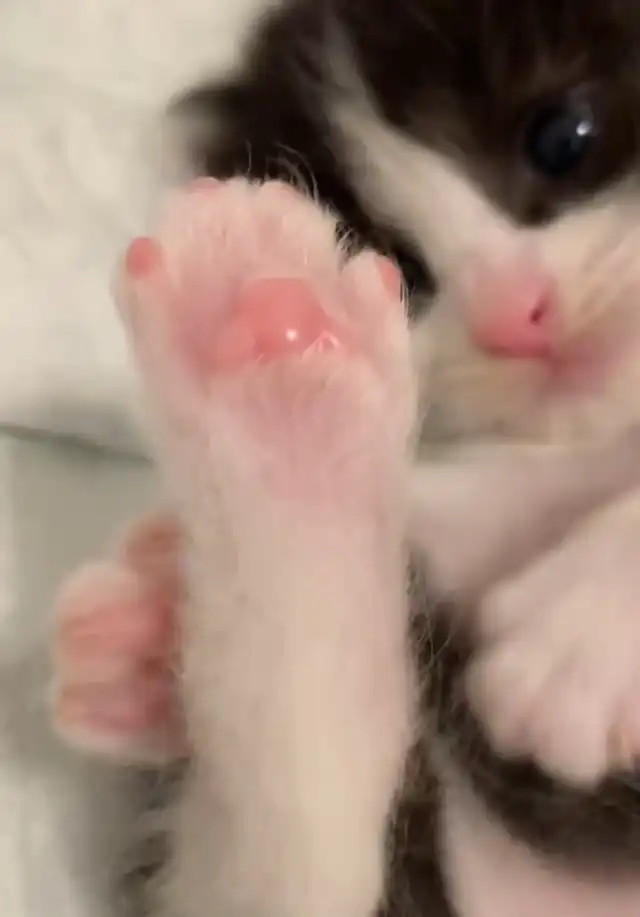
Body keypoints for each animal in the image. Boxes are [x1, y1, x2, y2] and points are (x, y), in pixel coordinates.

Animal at [54, 1, 640, 915]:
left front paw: (575, 643)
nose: (514, 314)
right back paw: (269, 370)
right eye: (408, 268)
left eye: (562, 138)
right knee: (296, 855)